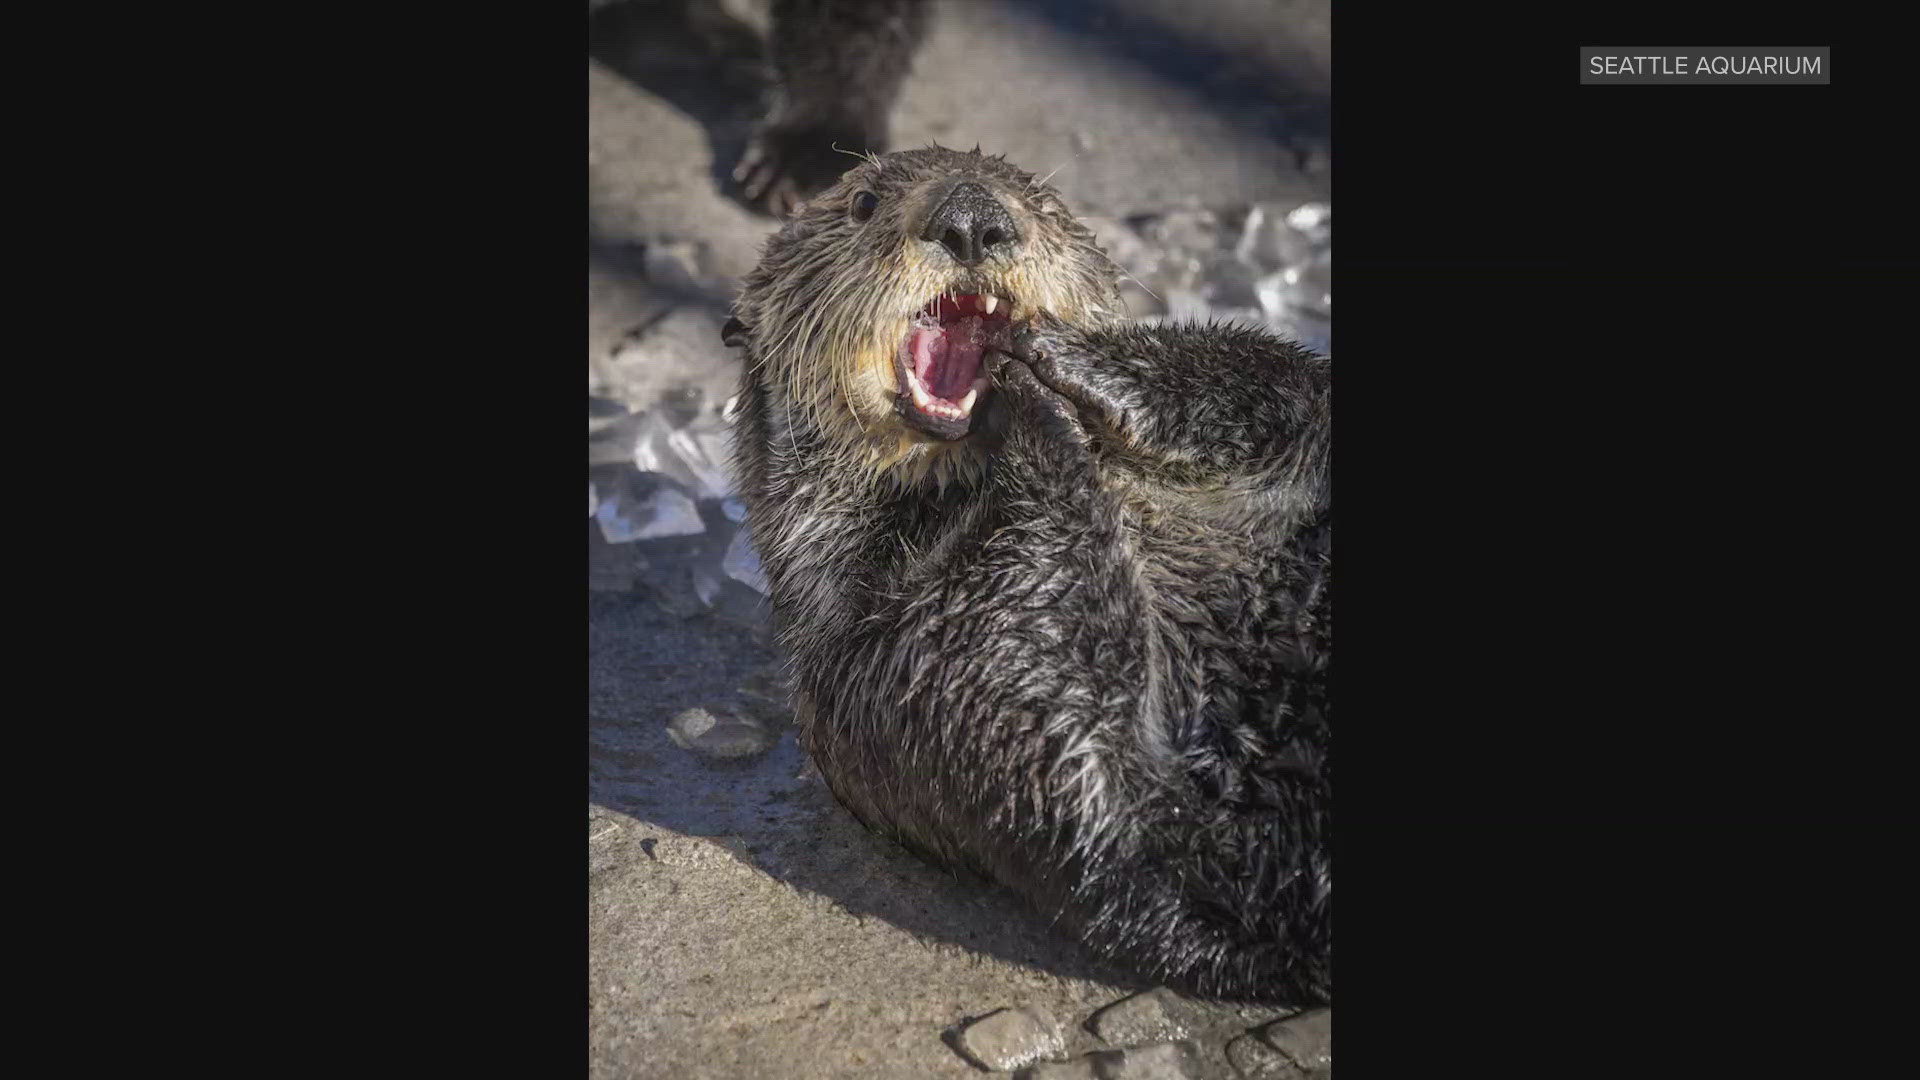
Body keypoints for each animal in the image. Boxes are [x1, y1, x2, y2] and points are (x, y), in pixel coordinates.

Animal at [723, 147, 1331, 1005]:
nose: (973, 217)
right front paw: (1036, 406)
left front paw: (1068, 358)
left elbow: (1274, 376)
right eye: (863, 203)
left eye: (1044, 205)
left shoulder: (1294, 410)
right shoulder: (921, 666)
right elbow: (1098, 779)